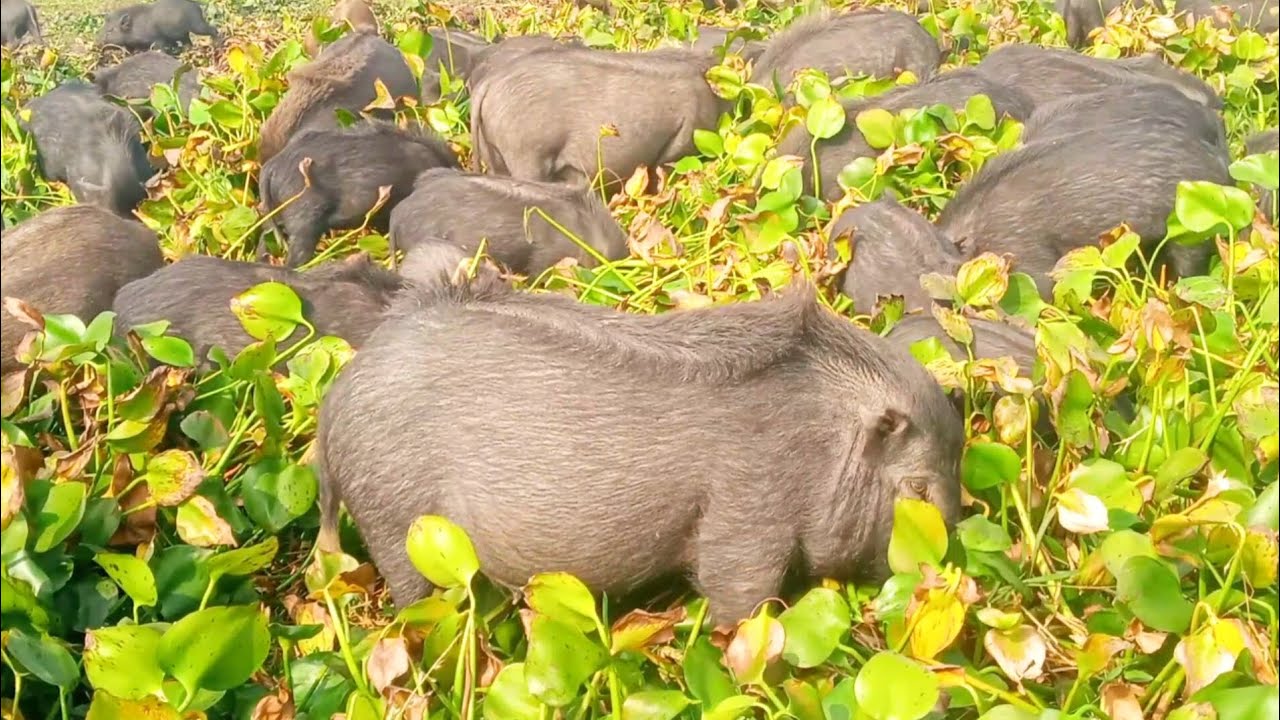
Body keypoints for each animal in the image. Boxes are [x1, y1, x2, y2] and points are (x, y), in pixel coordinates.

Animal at [315, 279, 964, 623]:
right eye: (918, 489)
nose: (946, 573)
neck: (824, 441)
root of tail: (334, 401)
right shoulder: (746, 518)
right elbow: (742, 602)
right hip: (398, 523)